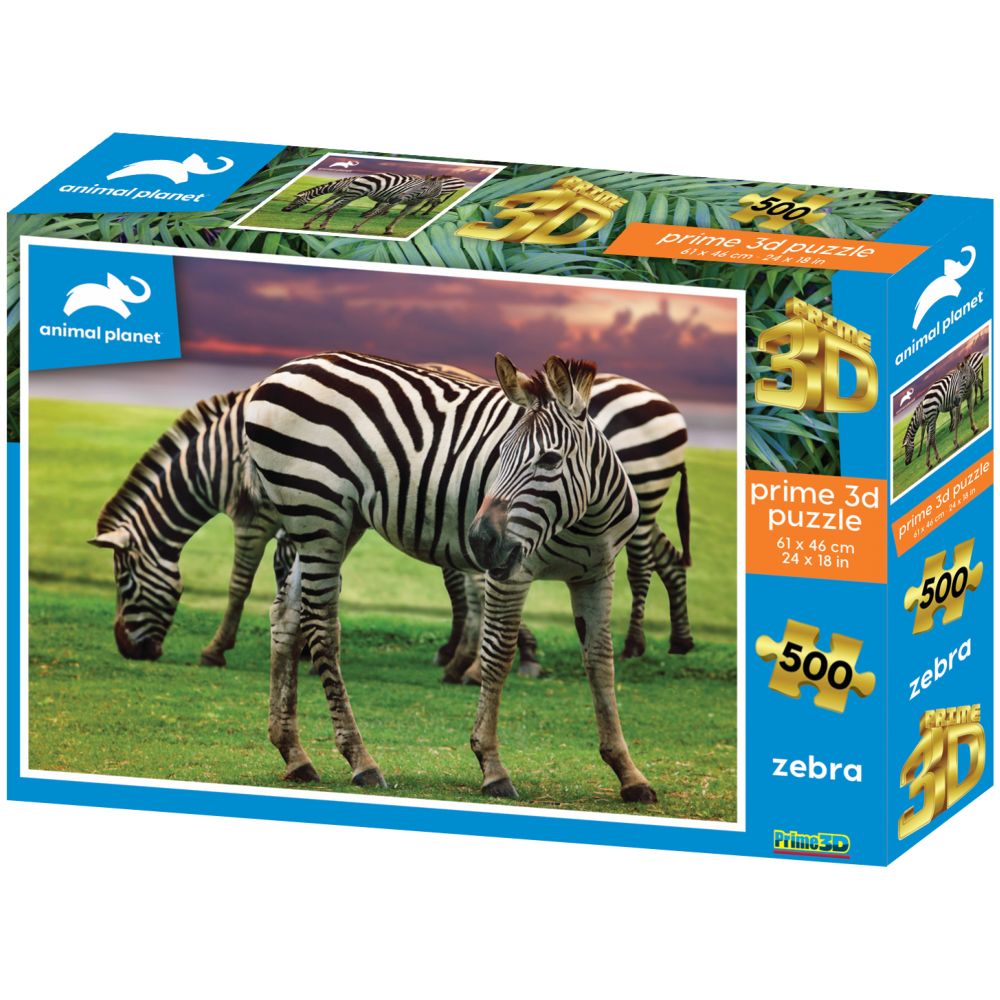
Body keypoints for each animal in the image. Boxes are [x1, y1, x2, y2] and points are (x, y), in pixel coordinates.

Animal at [243, 352, 657, 803]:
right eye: (500, 453)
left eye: (549, 460)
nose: (479, 540)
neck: (585, 518)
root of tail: (280, 372)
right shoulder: (510, 573)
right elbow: (498, 656)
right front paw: (492, 766)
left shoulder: (597, 575)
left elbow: (600, 663)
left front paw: (629, 773)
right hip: (318, 514)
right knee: (321, 626)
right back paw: (361, 761)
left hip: (334, 524)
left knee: (287, 616)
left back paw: (294, 754)